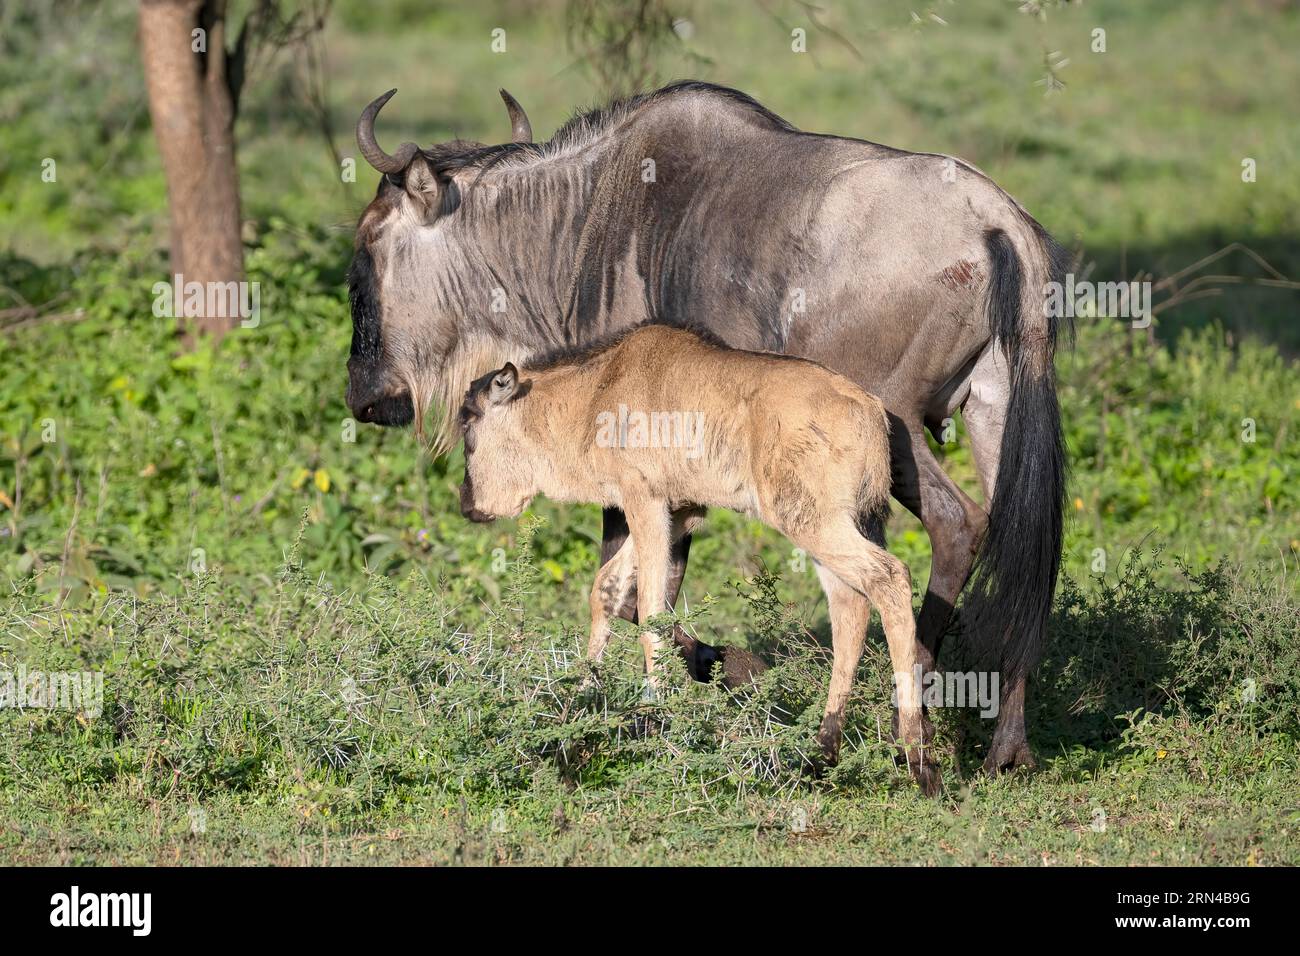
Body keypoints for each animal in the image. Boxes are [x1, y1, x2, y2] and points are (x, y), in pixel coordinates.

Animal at [345, 82, 1068, 774]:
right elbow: (635, 592)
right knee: (1021, 553)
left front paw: (686, 683)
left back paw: (917, 696)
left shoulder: (641, 469)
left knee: (953, 524)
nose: (363, 398)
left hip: (897, 420)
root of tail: (999, 224)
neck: (577, 222)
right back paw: (1003, 743)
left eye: (368, 245)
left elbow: (641, 595)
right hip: (994, 409)